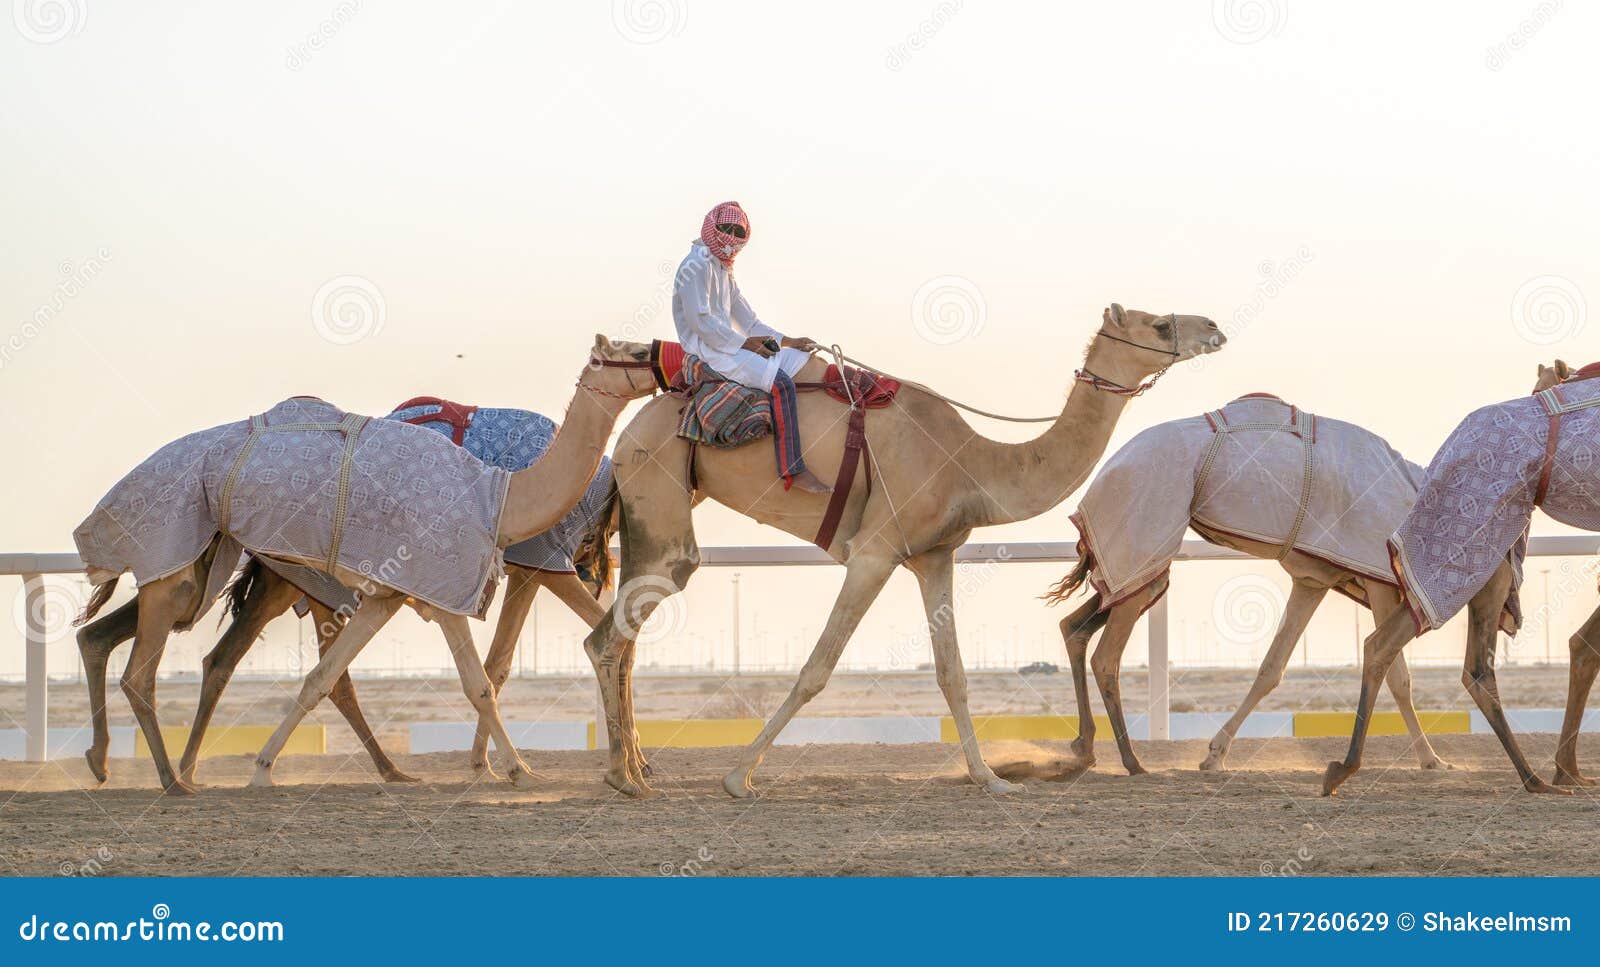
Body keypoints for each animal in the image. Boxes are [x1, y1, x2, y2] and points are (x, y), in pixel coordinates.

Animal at [73, 336, 658, 794]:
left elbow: (322, 678)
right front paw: (518, 770)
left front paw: (262, 768)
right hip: (185, 556)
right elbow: (481, 683)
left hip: (218, 562)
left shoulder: (389, 593)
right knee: (149, 668)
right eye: (632, 351)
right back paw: (172, 779)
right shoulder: (458, 583)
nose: (667, 362)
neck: (502, 495)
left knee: (135, 642)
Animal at [579, 304, 1226, 798]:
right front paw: (739, 777)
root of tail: (631, 429)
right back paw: (623, 778)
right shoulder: (875, 549)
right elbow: (817, 668)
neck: (971, 466)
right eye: (1159, 325)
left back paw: (635, 771)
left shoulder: (934, 556)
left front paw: (992, 779)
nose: (1214, 328)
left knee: (618, 636)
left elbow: (953, 673)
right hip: (660, 493)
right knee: (620, 627)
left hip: (649, 515)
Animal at [1028, 371, 1567, 781]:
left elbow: (1274, 667)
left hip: (1134, 565)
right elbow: (1397, 673)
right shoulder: (1379, 578)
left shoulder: (1316, 579)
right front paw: (1430, 760)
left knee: (1074, 627)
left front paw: (1215, 755)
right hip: (1143, 542)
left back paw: (1083, 749)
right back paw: (1132, 762)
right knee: (1106, 655)